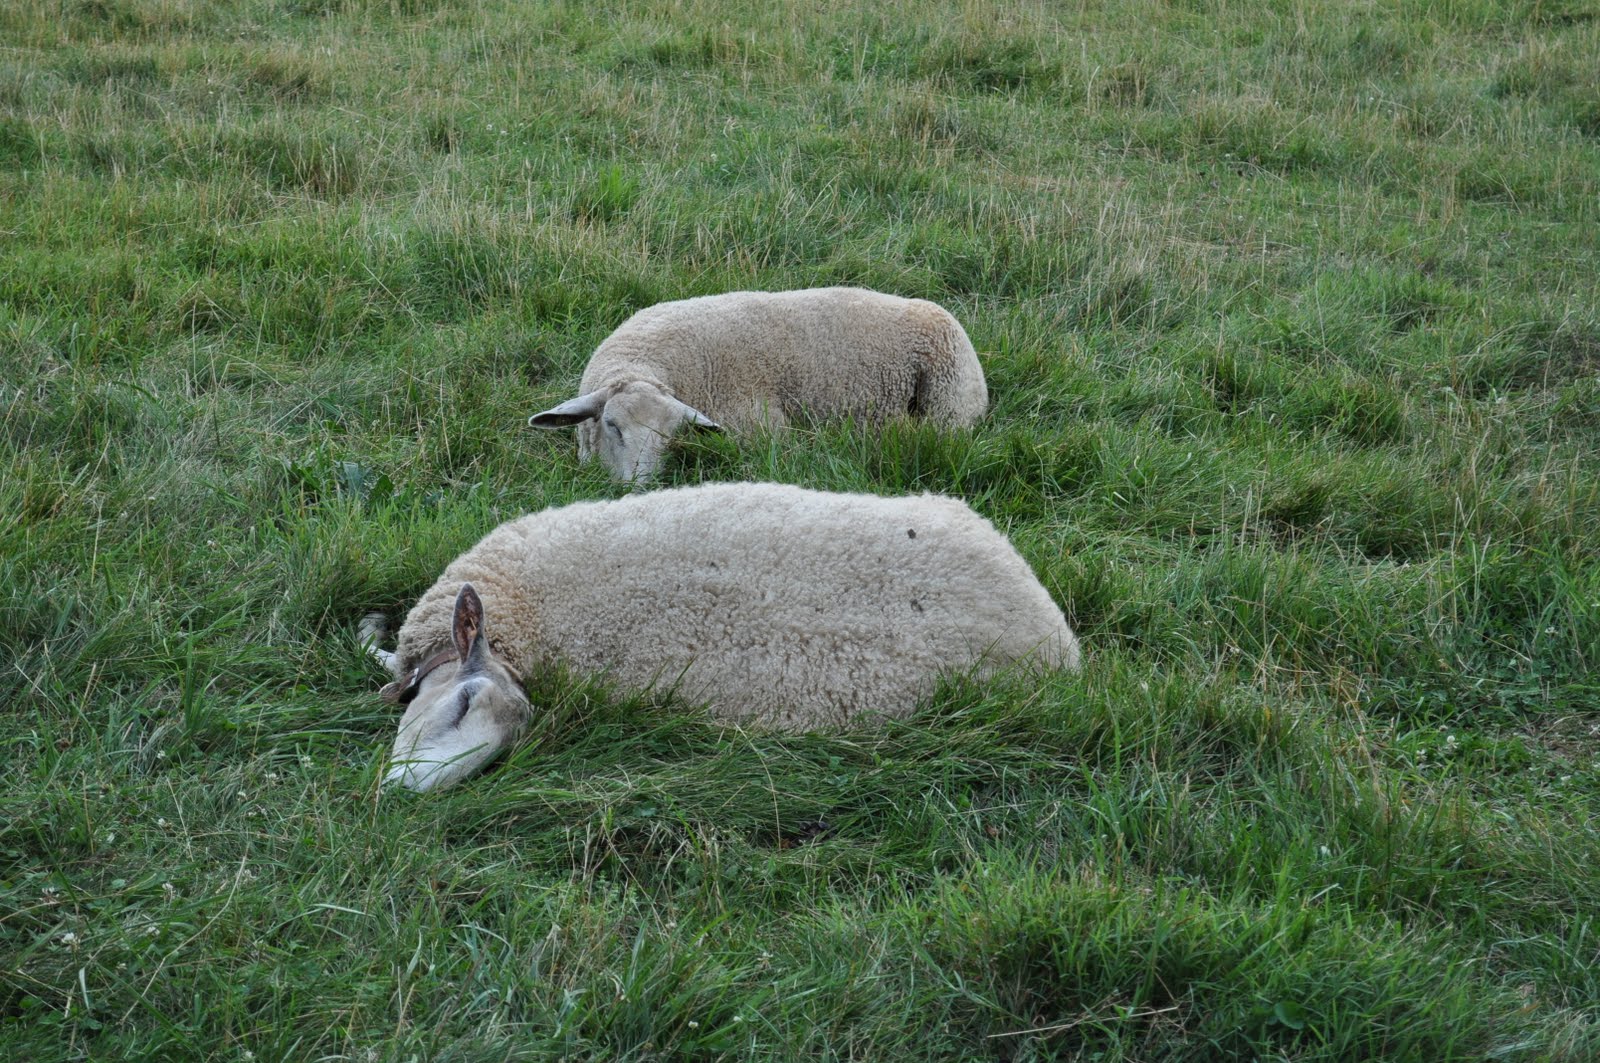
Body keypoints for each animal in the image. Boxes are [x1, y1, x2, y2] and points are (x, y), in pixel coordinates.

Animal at [528, 287, 988, 481]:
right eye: (611, 426)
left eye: (673, 436)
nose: (638, 487)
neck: (644, 364)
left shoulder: (763, 428)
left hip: (948, 406)